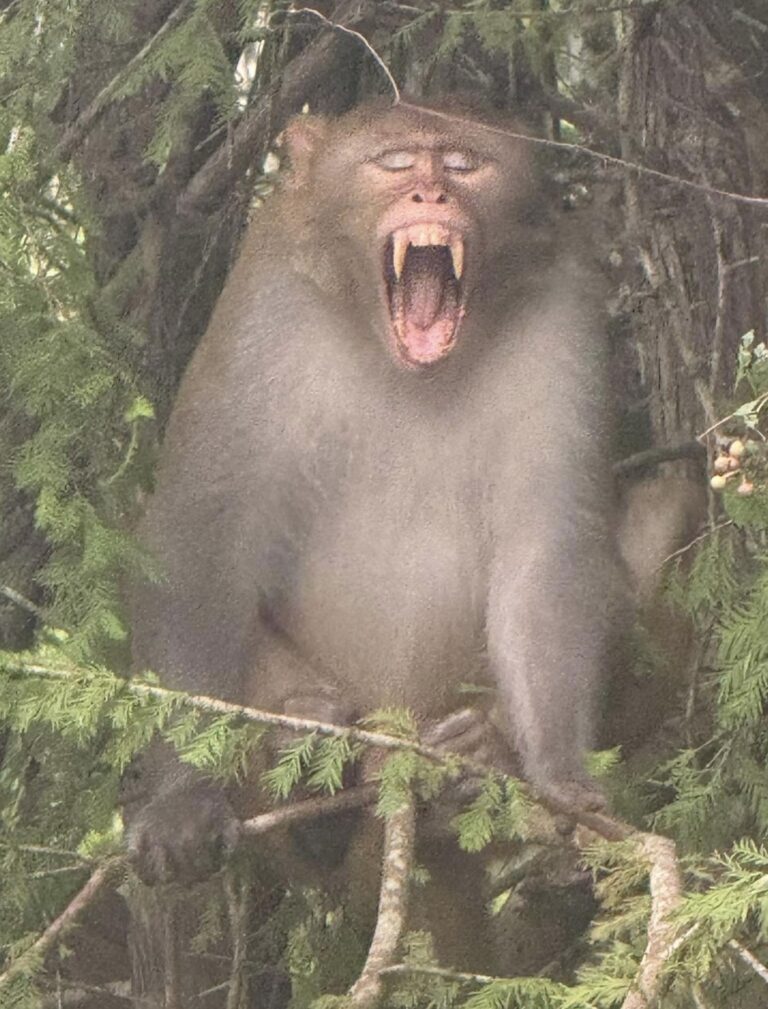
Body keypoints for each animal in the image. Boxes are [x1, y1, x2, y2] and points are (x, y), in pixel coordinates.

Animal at [125, 100, 630, 991]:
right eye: (394, 162)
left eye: (463, 162)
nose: (432, 190)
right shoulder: (266, 297)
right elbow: (201, 531)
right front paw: (183, 797)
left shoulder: (566, 302)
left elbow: (551, 544)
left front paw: (554, 770)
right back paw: (312, 762)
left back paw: (468, 762)